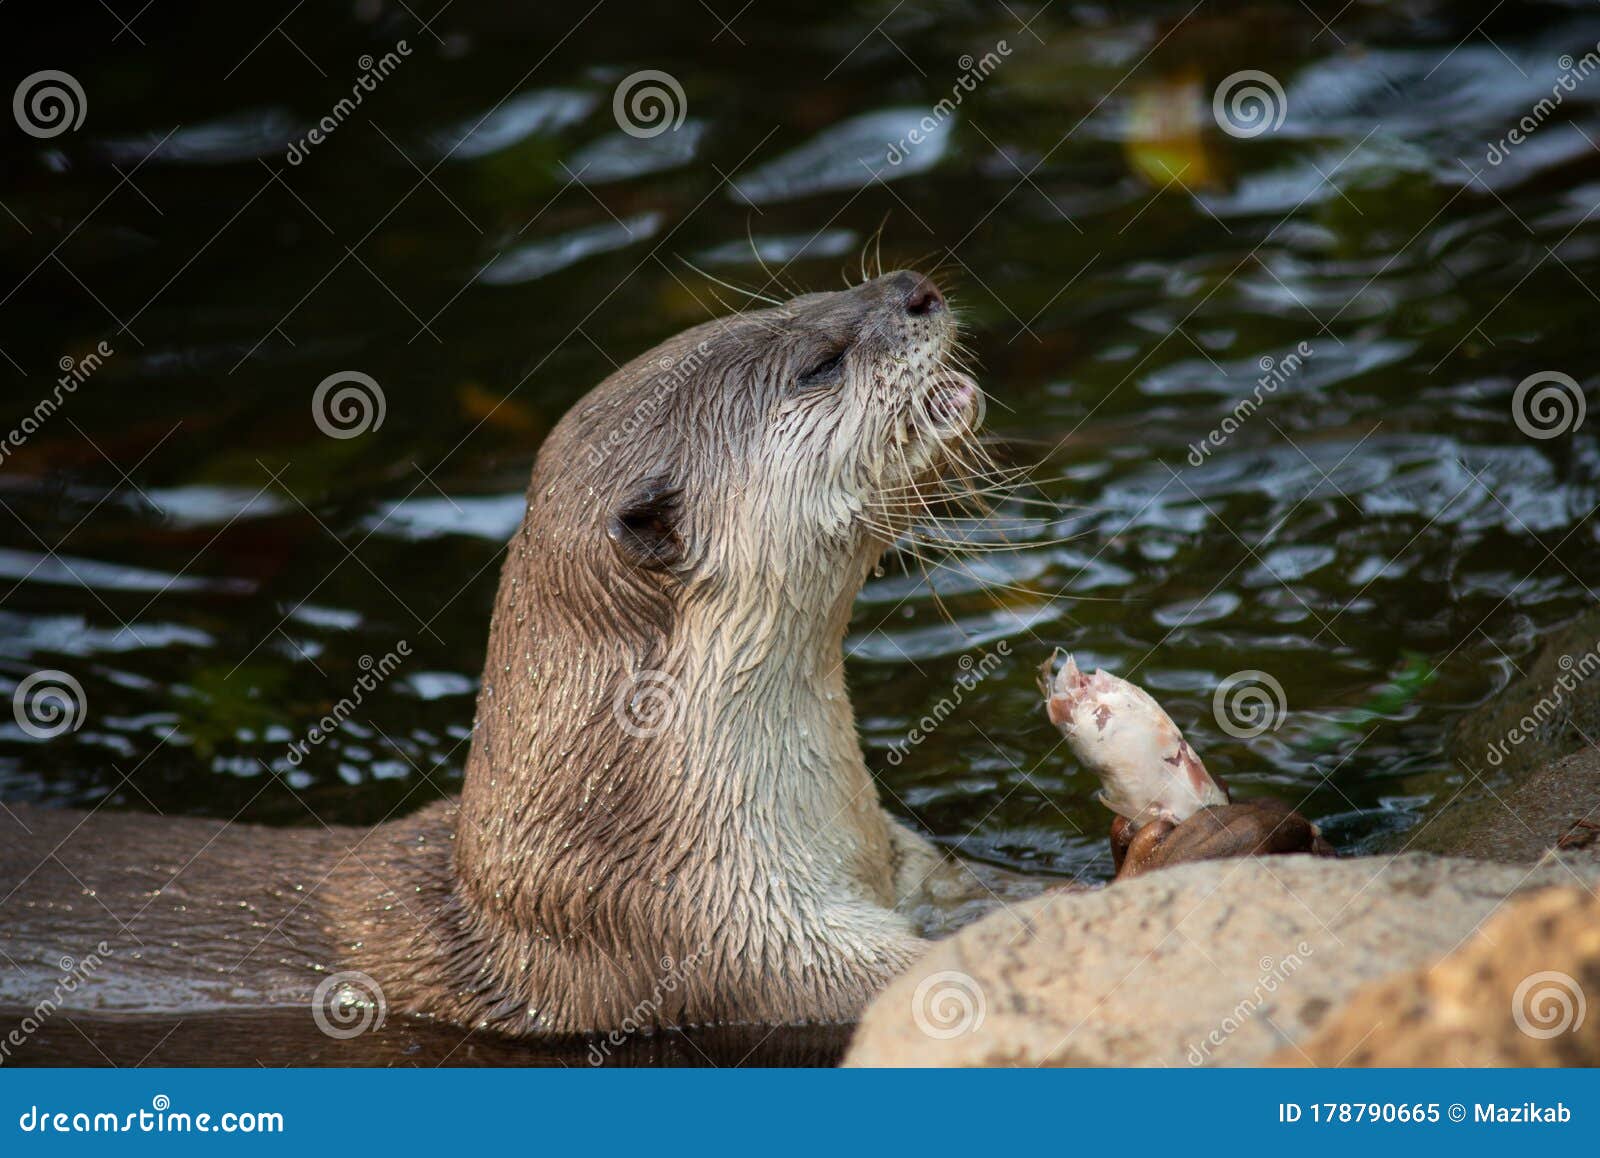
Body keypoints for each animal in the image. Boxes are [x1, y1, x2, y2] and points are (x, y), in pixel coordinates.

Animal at [0, 271, 1314, 1040]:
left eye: (810, 294)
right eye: (816, 361)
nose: (913, 286)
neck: (650, 856)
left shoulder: (896, 867)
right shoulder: (736, 957)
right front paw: (1219, 841)